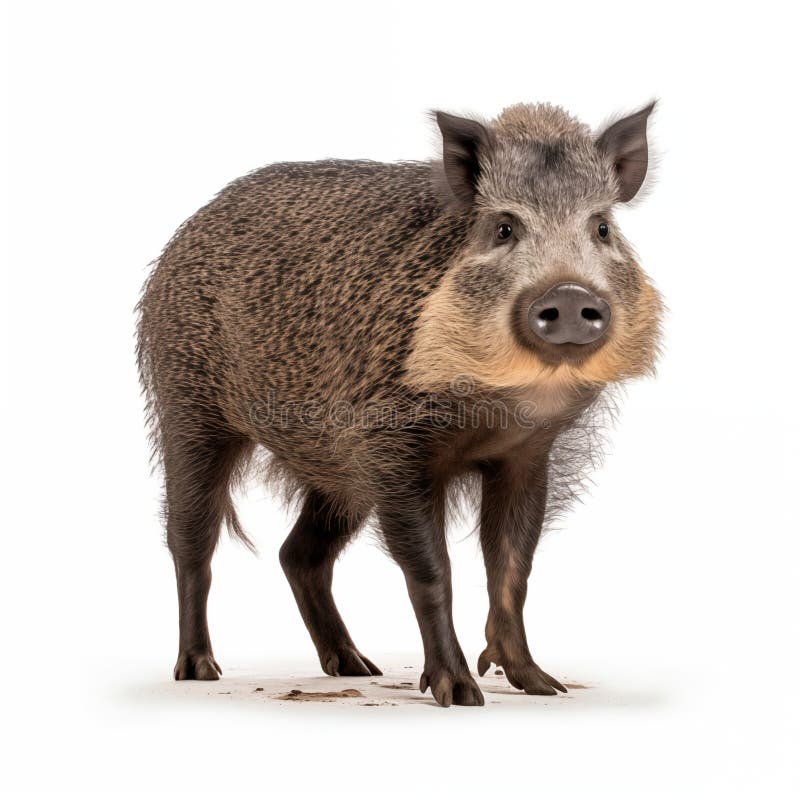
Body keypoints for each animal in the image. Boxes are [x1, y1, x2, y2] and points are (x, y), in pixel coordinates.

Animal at [136, 100, 663, 707]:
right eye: (503, 227)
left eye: (601, 226)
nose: (571, 294)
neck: (497, 405)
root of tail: (187, 232)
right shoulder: (394, 450)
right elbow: (434, 571)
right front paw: (460, 694)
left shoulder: (527, 455)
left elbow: (512, 568)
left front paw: (541, 687)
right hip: (187, 409)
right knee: (190, 543)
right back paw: (200, 670)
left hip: (335, 470)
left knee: (299, 554)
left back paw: (356, 667)